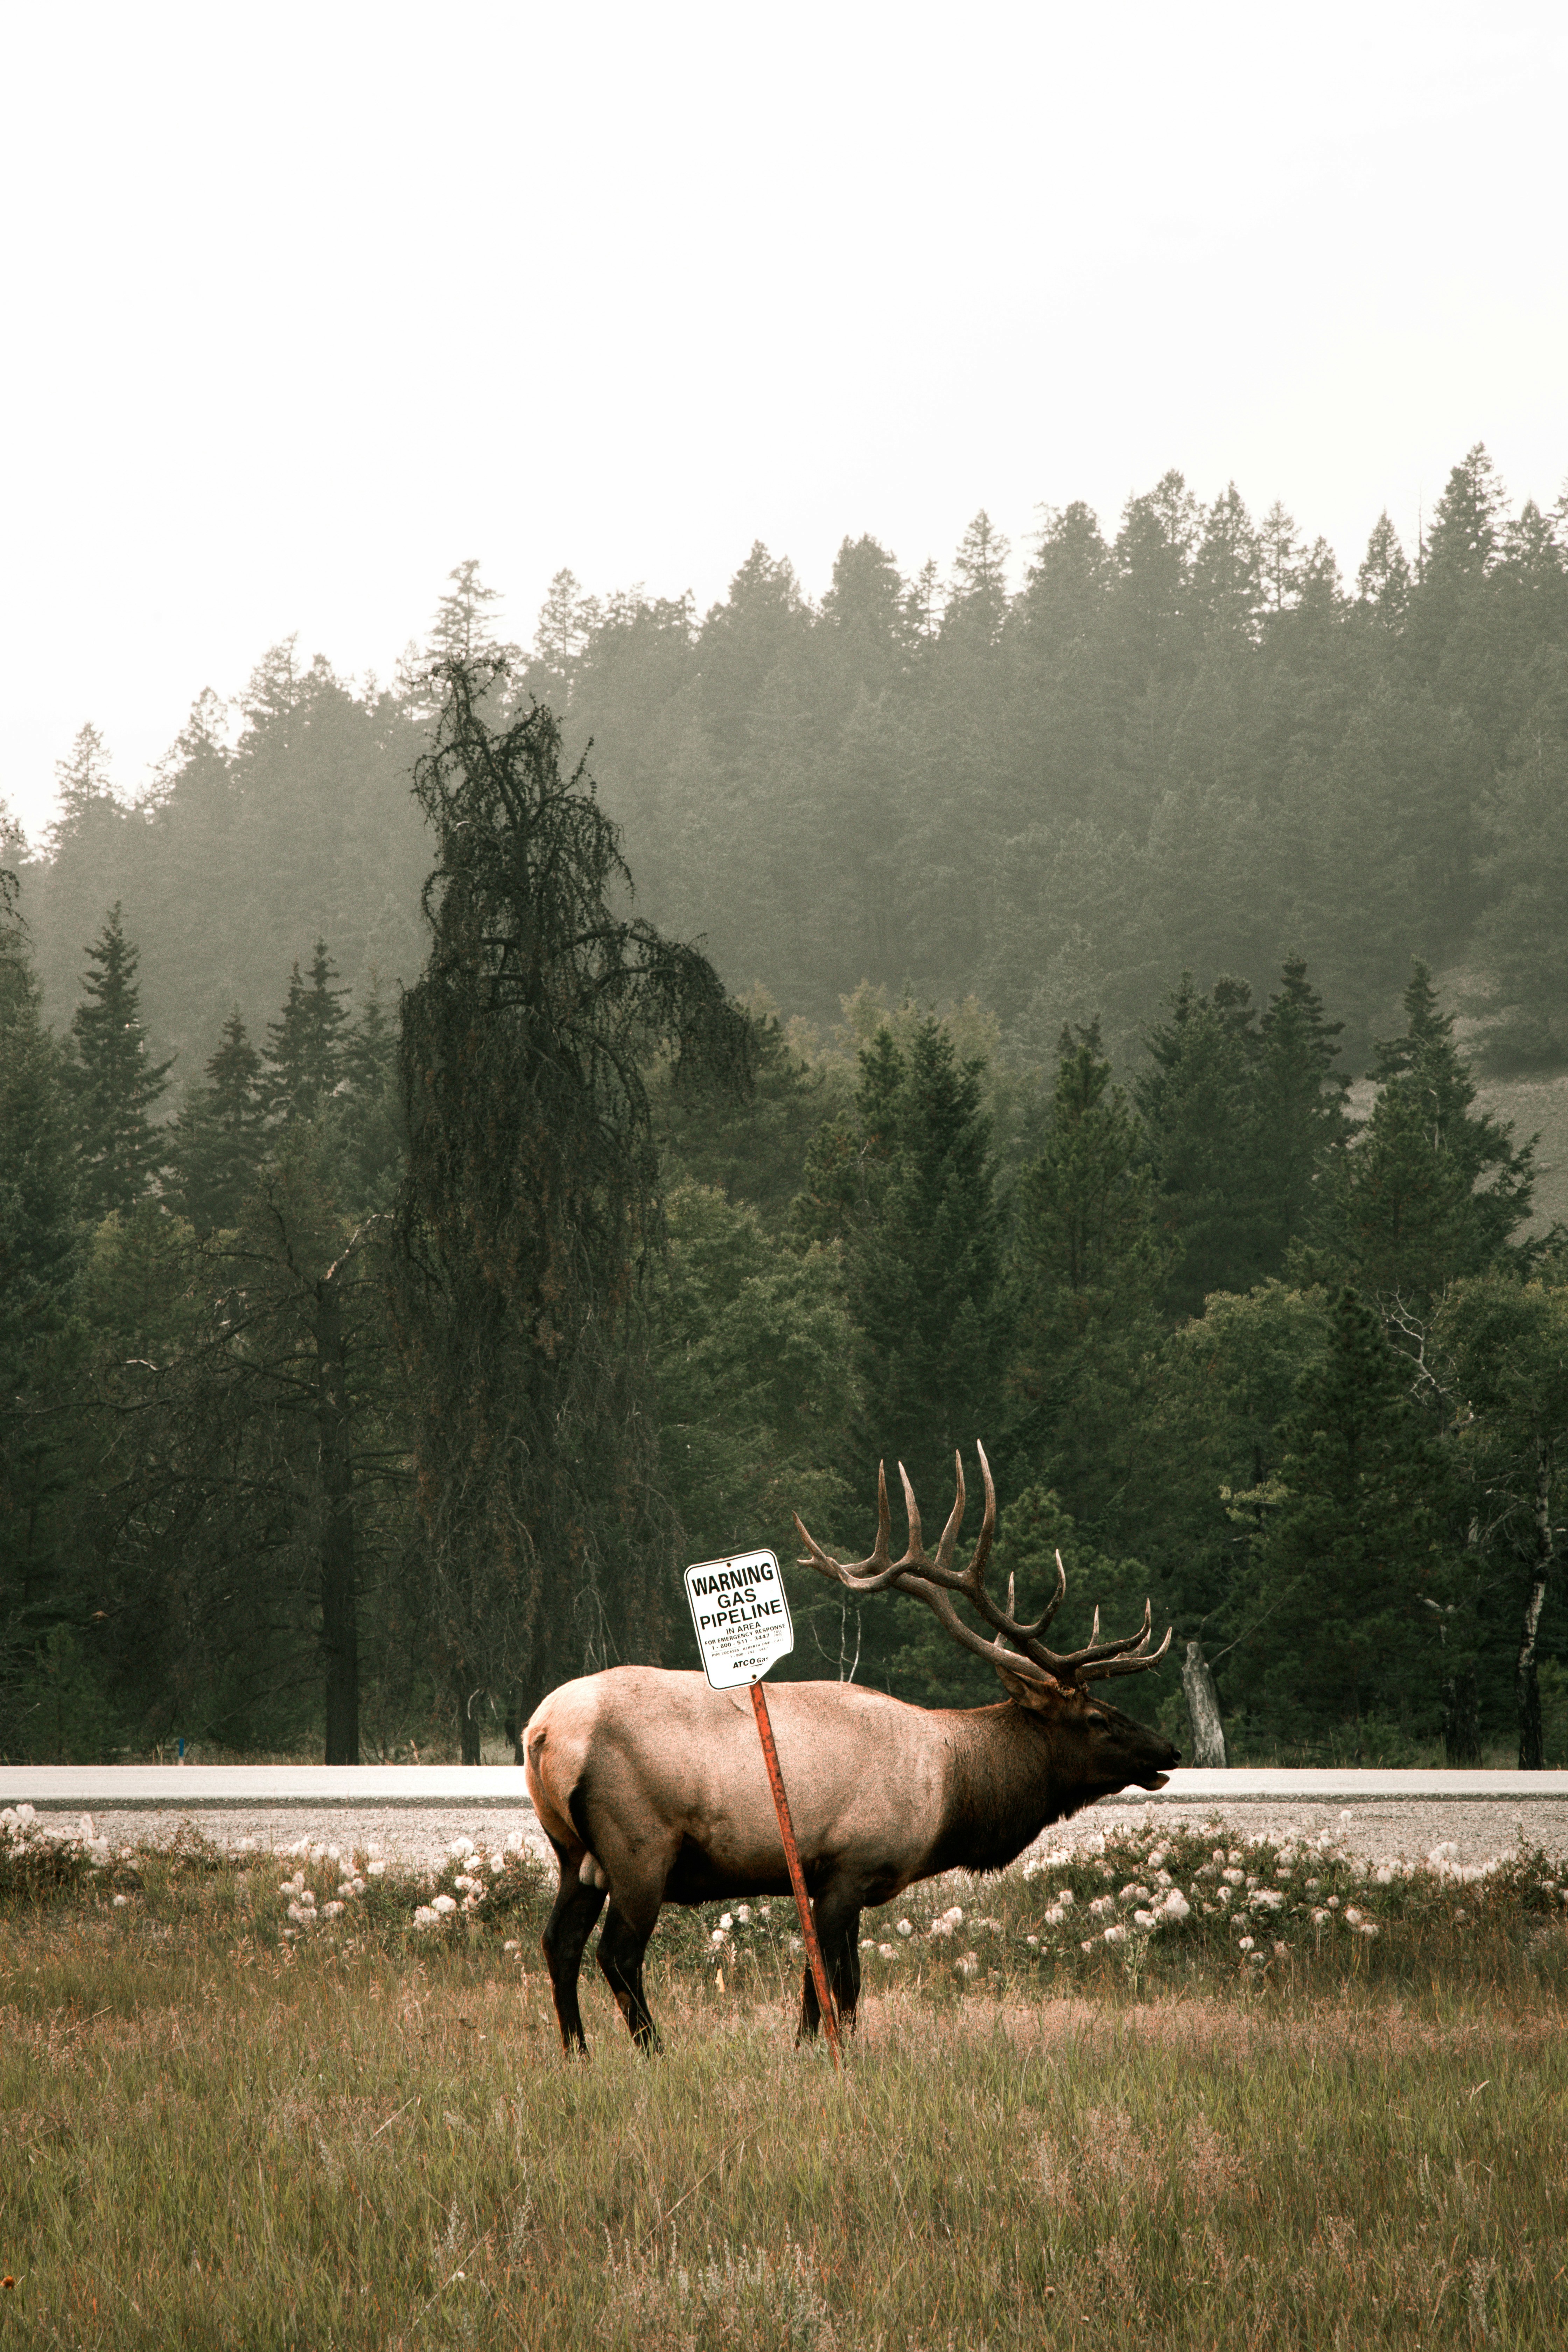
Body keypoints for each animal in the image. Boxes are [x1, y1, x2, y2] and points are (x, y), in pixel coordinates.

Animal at [523, 1442, 1177, 2053]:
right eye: (1097, 1718)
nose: (1168, 1751)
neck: (951, 1792)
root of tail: (542, 1733)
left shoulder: (822, 1879)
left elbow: (823, 1986)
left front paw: (815, 2047)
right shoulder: (849, 1867)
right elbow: (840, 1983)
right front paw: (838, 2053)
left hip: (573, 1852)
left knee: (558, 1942)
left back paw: (577, 2053)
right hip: (640, 1844)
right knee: (617, 1954)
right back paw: (656, 2052)